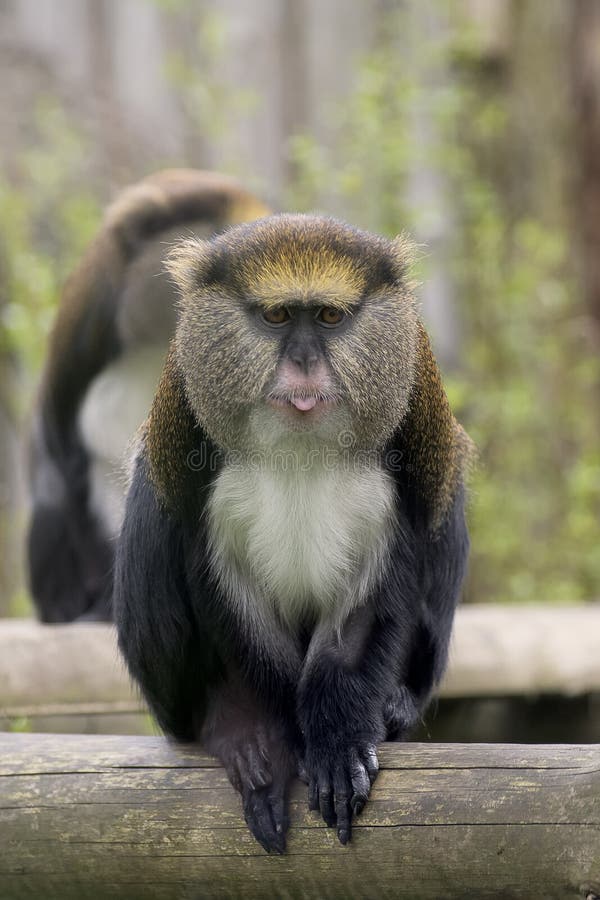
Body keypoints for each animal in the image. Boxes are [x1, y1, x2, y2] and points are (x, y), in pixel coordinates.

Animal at [113, 213, 474, 853]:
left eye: (328, 317)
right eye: (278, 317)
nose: (304, 362)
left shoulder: (410, 434)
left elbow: (363, 616)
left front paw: (337, 745)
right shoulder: (187, 434)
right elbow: (232, 607)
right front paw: (256, 737)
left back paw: (394, 707)